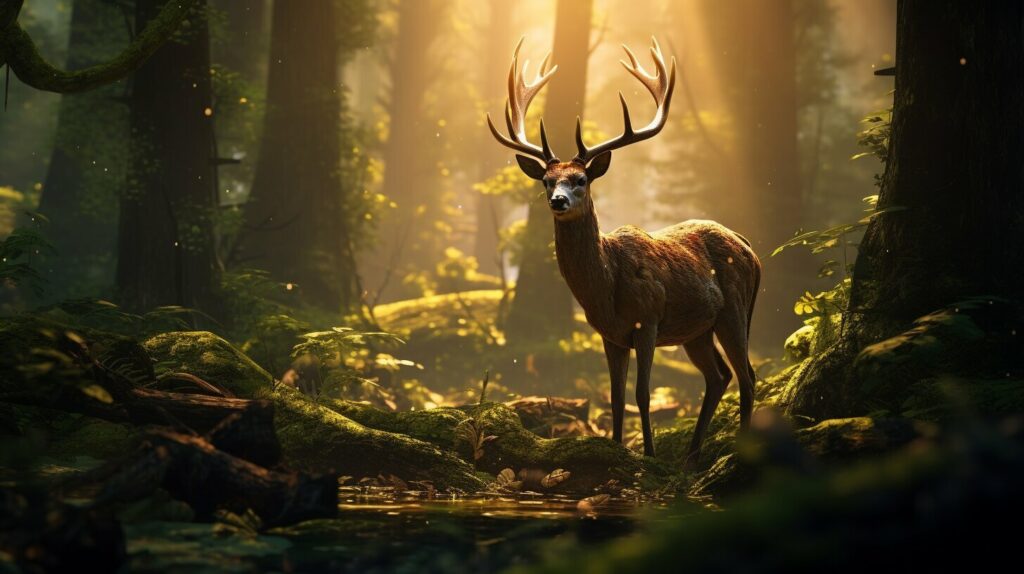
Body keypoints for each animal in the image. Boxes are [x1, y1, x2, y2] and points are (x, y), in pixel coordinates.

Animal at [486, 38, 761, 463]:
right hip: (697, 331)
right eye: (547, 180)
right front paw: (616, 447)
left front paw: (648, 454)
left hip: (734, 309)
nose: (558, 201)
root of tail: (749, 246)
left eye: (580, 179)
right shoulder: (610, 334)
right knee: (720, 376)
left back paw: (734, 452)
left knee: (747, 376)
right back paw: (692, 455)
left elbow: (641, 394)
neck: (606, 286)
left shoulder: (647, 319)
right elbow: (616, 399)